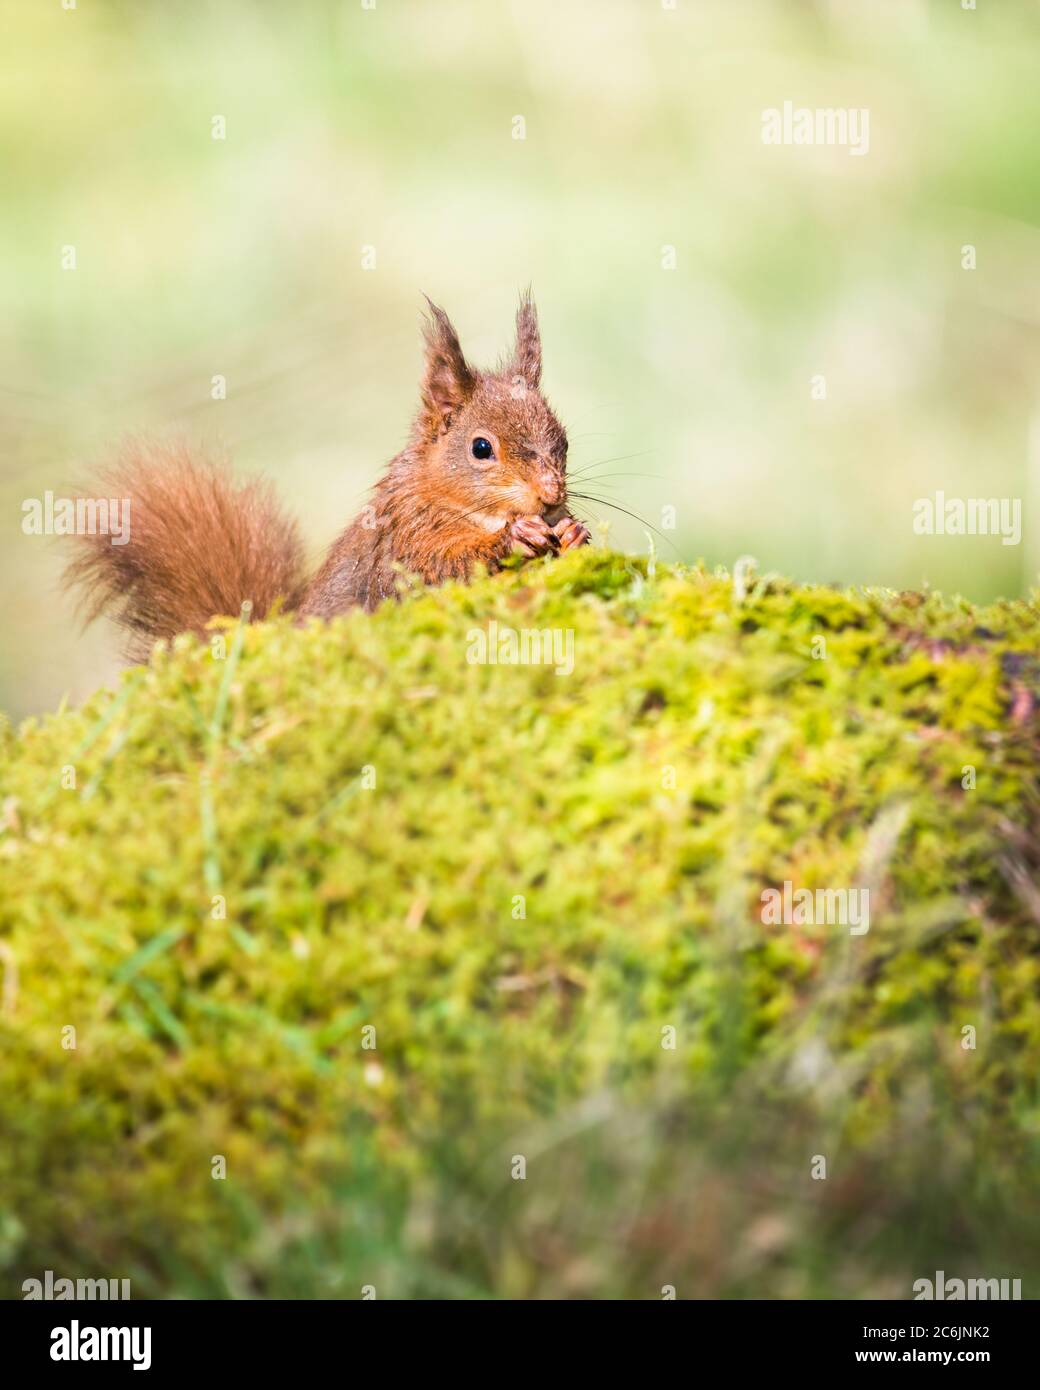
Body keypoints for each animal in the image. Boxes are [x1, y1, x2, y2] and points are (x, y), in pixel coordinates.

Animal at [67, 294, 590, 661]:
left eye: (564, 439)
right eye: (481, 448)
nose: (551, 496)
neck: (444, 496)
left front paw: (573, 532)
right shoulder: (406, 541)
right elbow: (441, 568)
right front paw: (515, 536)